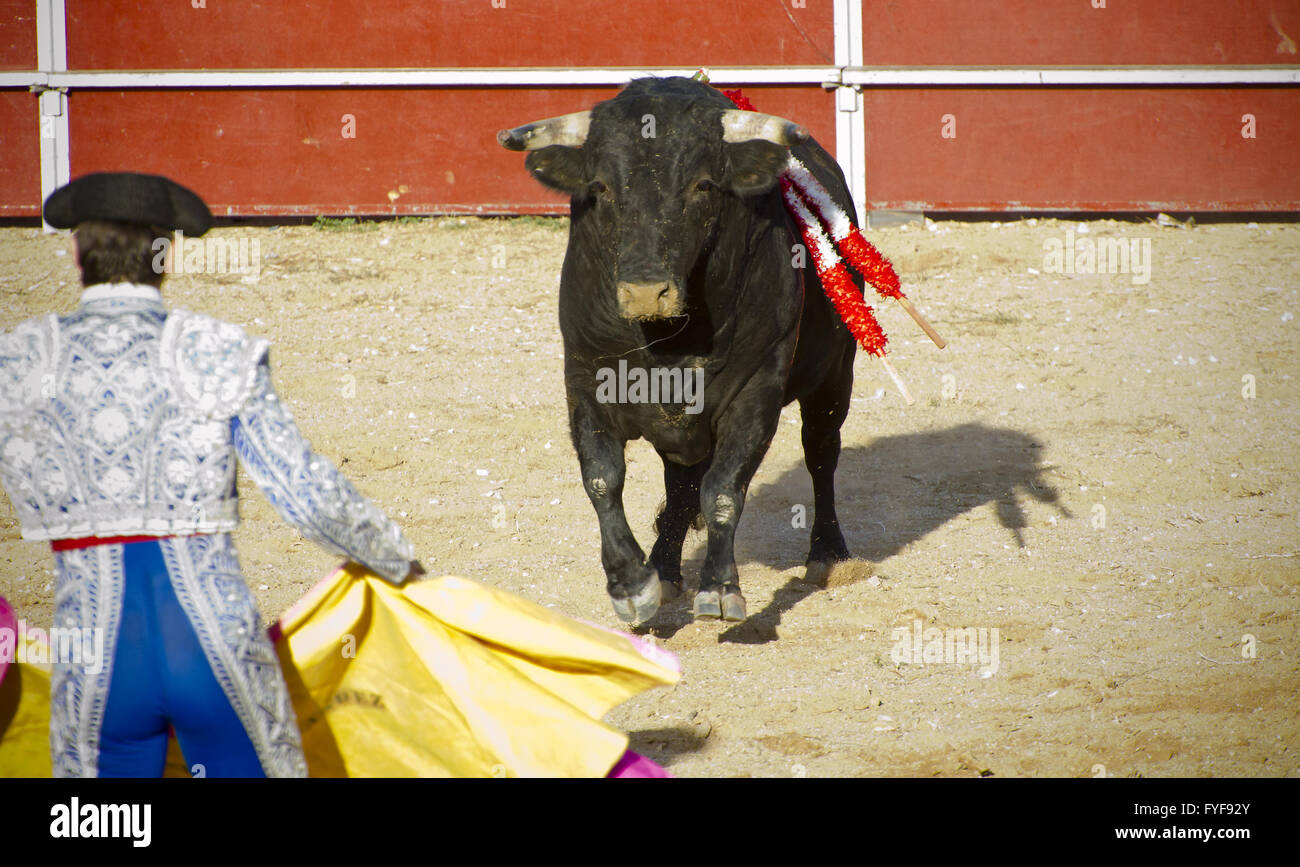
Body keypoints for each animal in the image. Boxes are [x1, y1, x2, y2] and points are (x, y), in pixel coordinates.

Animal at [499, 76, 864, 624]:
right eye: (601, 187)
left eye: (703, 186)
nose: (646, 292)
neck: (669, 344)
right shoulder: (584, 378)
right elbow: (603, 479)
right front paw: (632, 585)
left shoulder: (755, 391)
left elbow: (723, 490)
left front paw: (720, 588)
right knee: (681, 482)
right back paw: (666, 568)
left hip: (835, 375)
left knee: (821, 452)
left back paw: (827, 553)